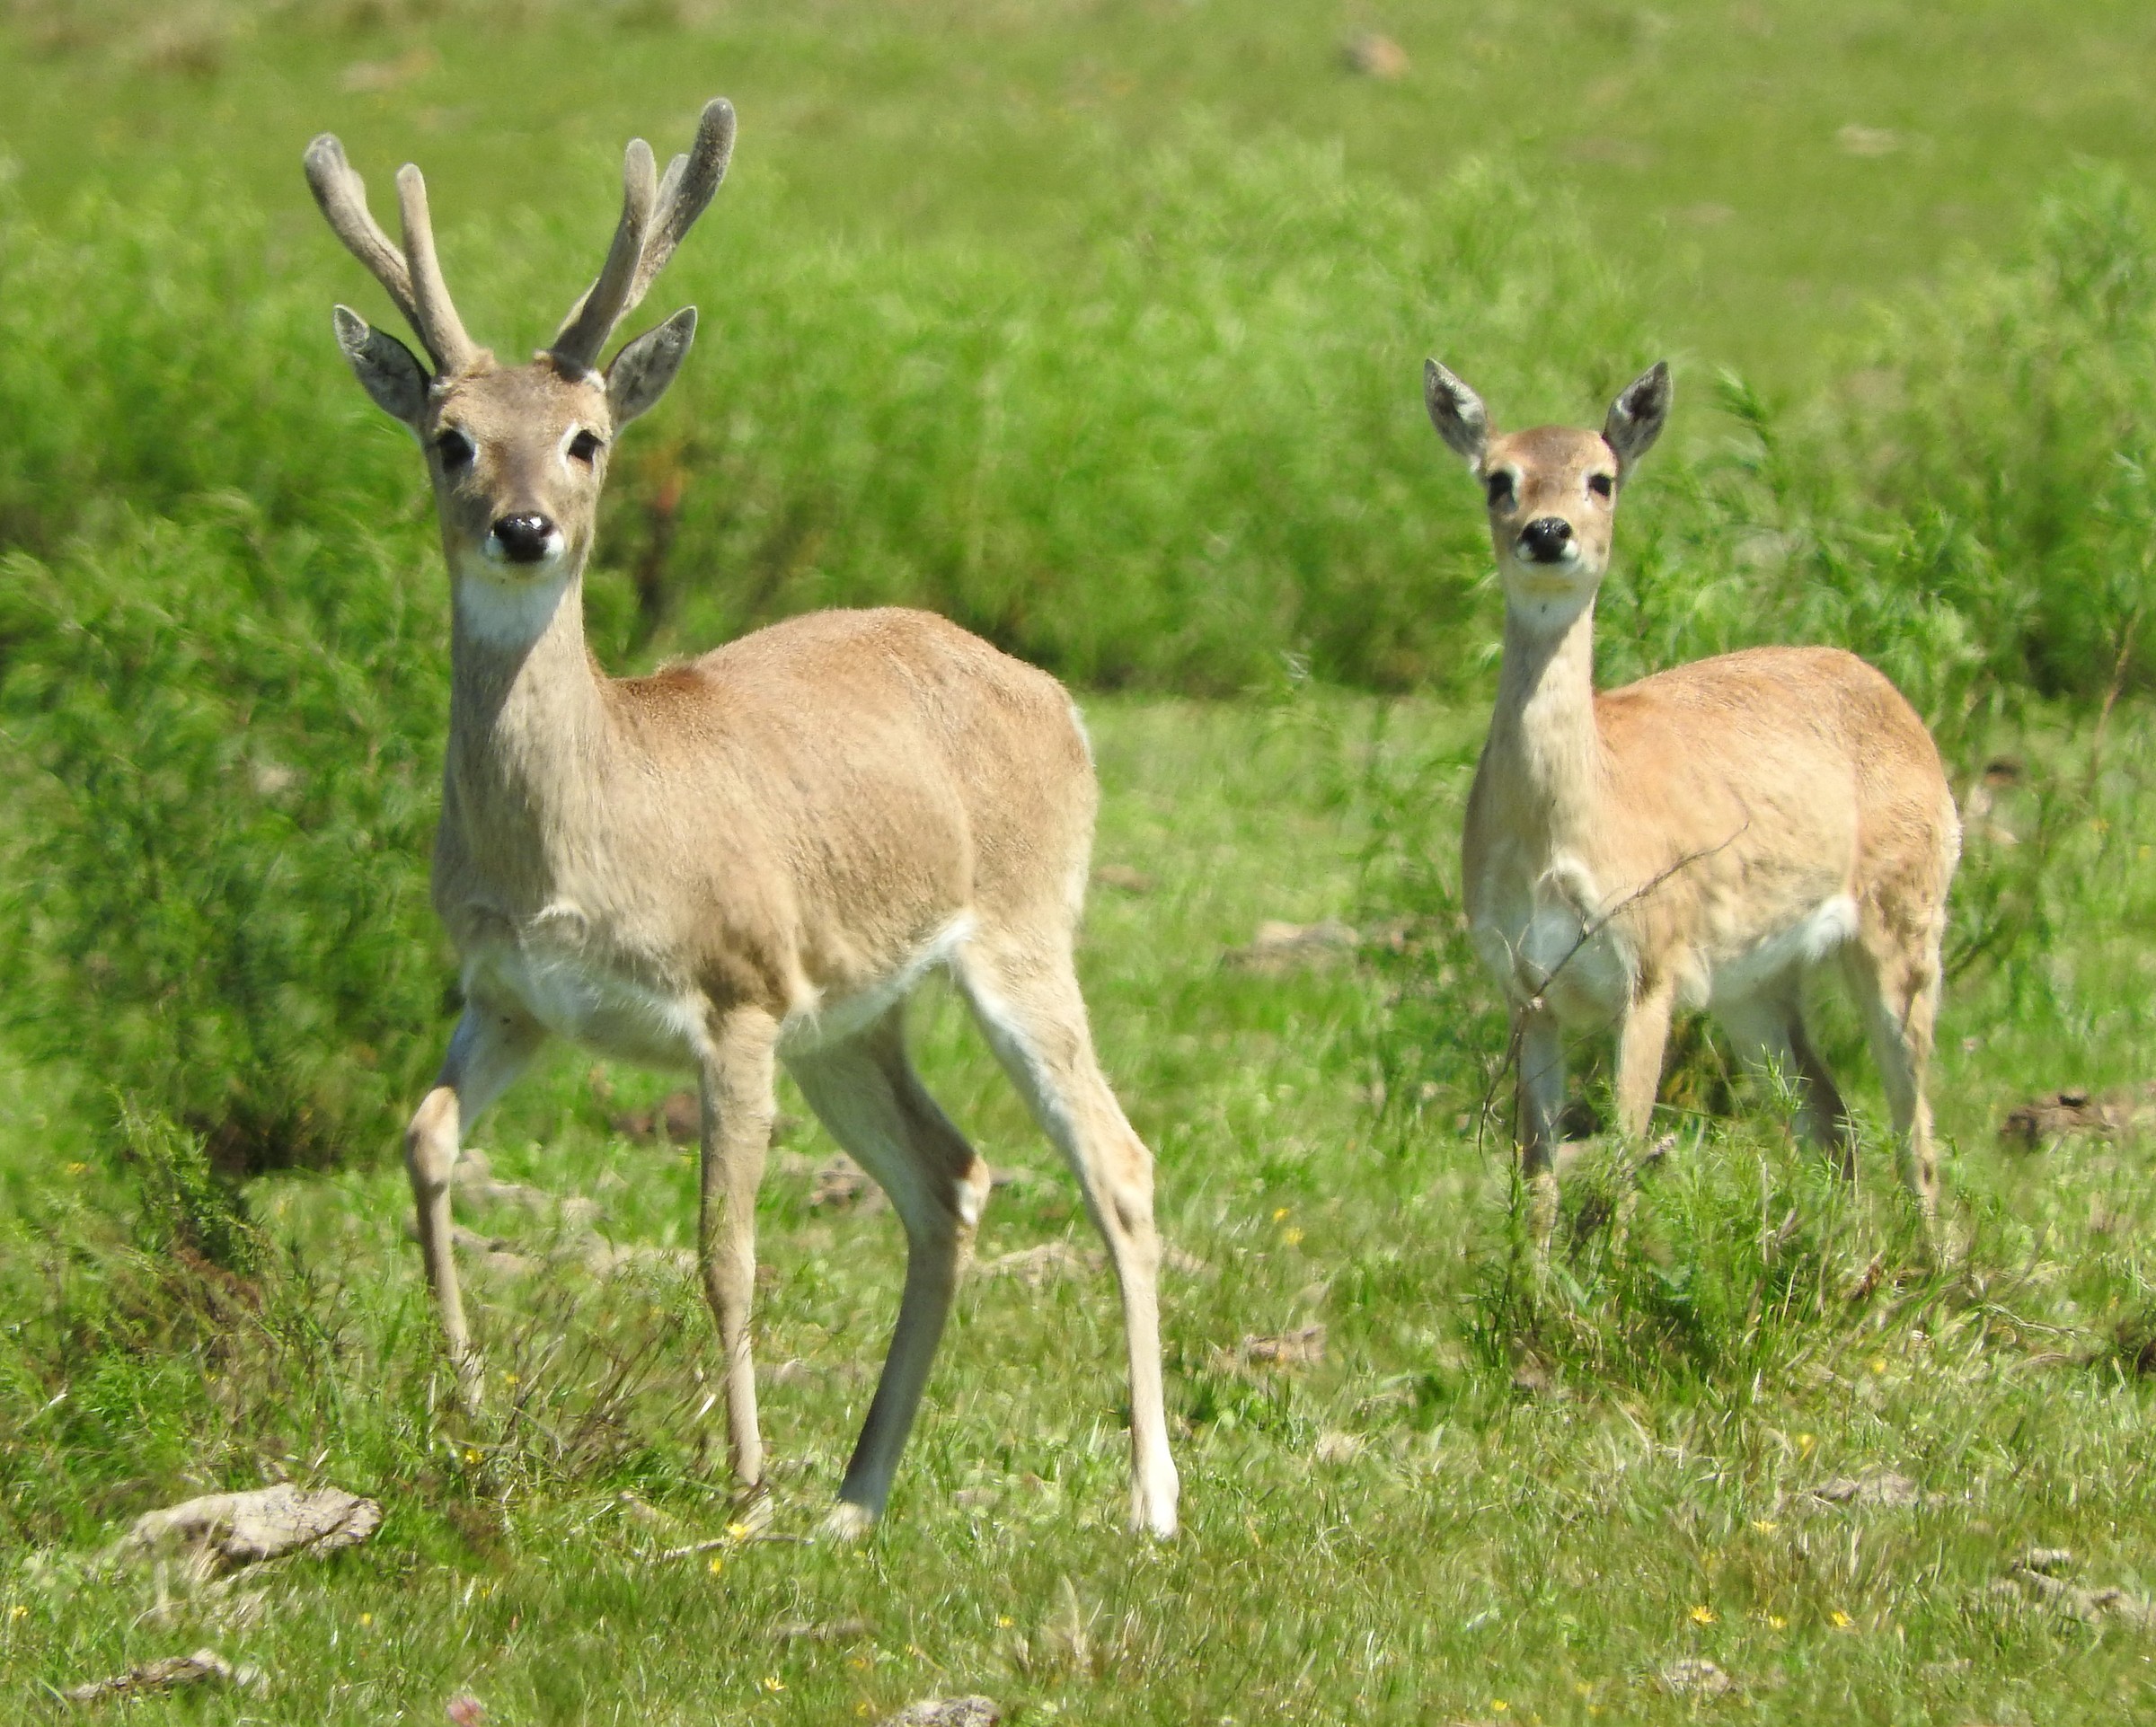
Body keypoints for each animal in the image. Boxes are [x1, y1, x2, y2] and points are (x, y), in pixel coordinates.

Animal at [302, 99, 1178, 1540]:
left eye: (589, 435)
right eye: (450, 437)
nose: (524, 528)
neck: (591, 834)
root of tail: (1054, 694)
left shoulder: (738, 999)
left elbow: (724, 1247)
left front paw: (744, 1485)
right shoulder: (511, 995)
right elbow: (424, 1140)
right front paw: (470, 1416)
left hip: (1016, 933)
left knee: (1118, 1159)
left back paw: (1151, 1495)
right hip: (856, 1017)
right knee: (950, 1175)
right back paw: (859, 1495)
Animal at [1422, 358, 1960, 1260]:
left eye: (1601, 476)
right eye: (1499, 477)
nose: (1547, 531)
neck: (1563, 827)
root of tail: (1893, 698)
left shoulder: (1651, 973)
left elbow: (1625, 1153)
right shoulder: (1527, 991)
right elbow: (1537, 1175)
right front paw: (1533, 1285)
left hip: (1903, 933)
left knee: (1914, 1127)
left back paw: (1930, 1272)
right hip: (1756, 987)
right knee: (1831, 1121)